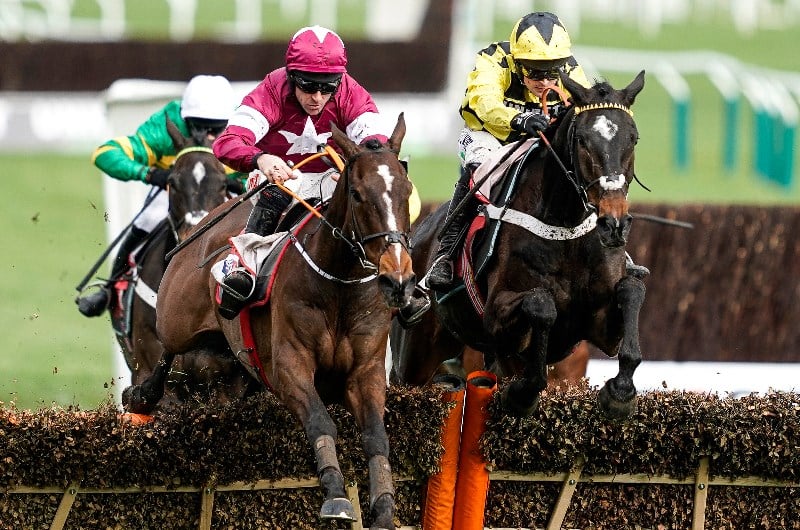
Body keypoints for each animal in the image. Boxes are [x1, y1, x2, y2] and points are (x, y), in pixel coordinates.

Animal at [391, 72, 647, 419]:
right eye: (583, 140)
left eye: (632, 139)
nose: (614, 222)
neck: (564, 227)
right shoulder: (496, 316)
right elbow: (541, 304)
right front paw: (523, 393)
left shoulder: (599, 327)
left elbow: (631, 290)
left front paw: (620, 392)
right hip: (414, 357)